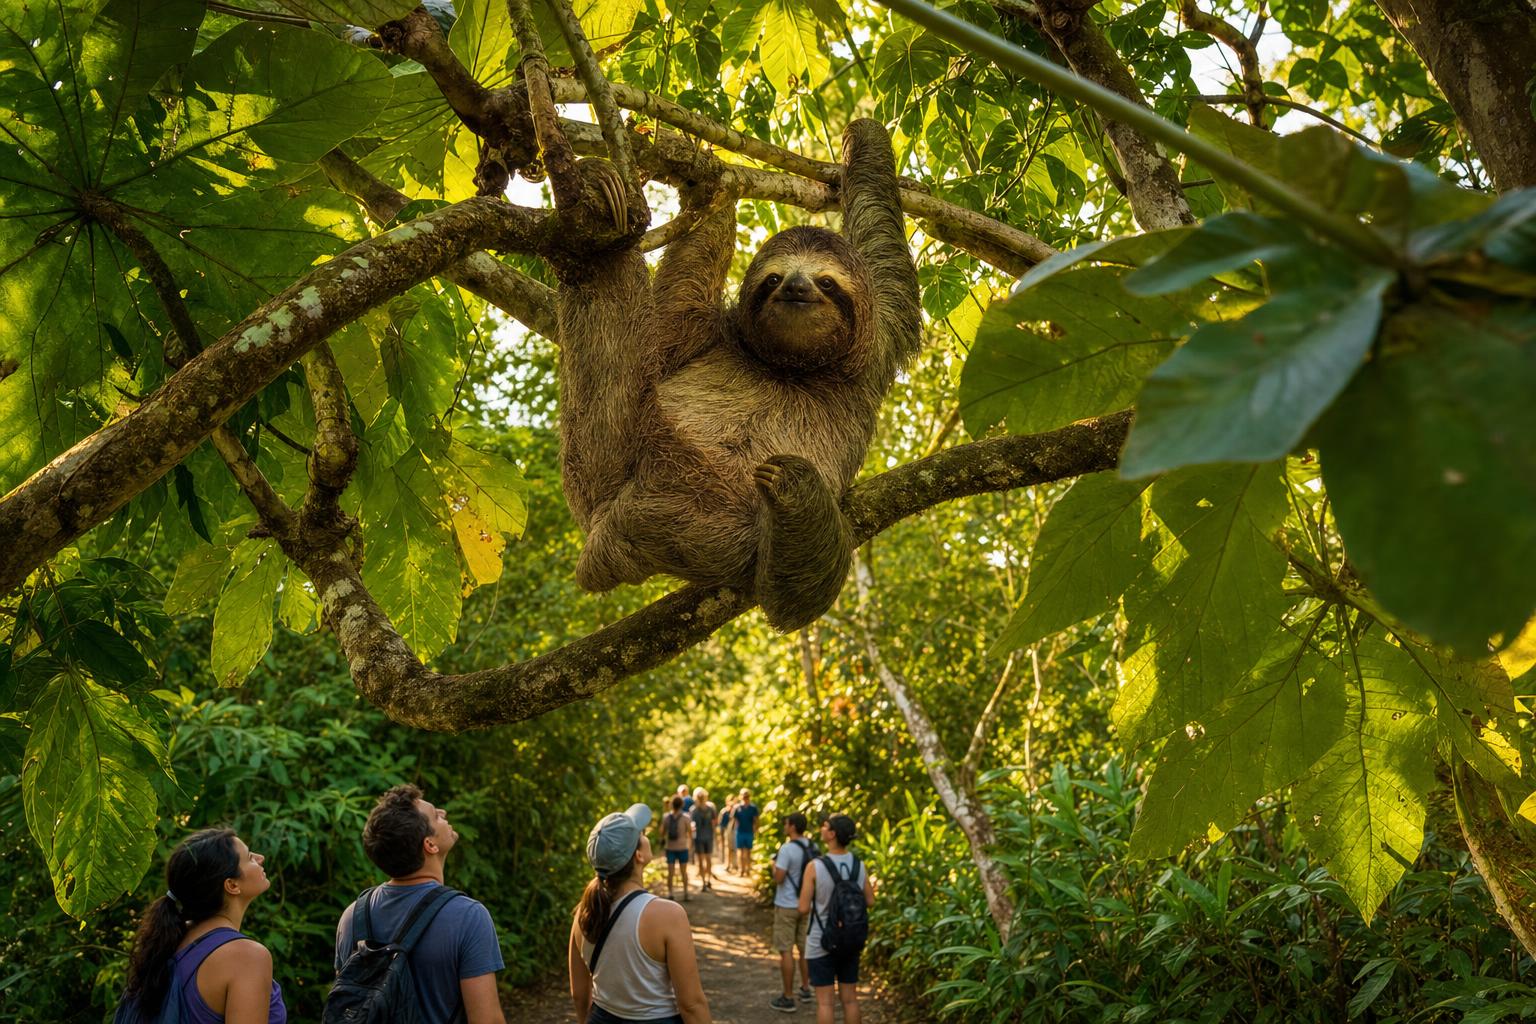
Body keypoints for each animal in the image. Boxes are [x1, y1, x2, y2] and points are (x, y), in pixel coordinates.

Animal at [553, 118, 921, 632]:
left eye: (827, 282)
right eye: (773, 279)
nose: (796, 287)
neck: (788, 366)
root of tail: (607, 546)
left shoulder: (882, 335)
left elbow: (881, 237)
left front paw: (862, 135)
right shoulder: (709, 332)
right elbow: (671, 317)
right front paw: (707, 188)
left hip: (717, 528)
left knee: (799, 583)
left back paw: (793, 485)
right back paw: (600, 202)